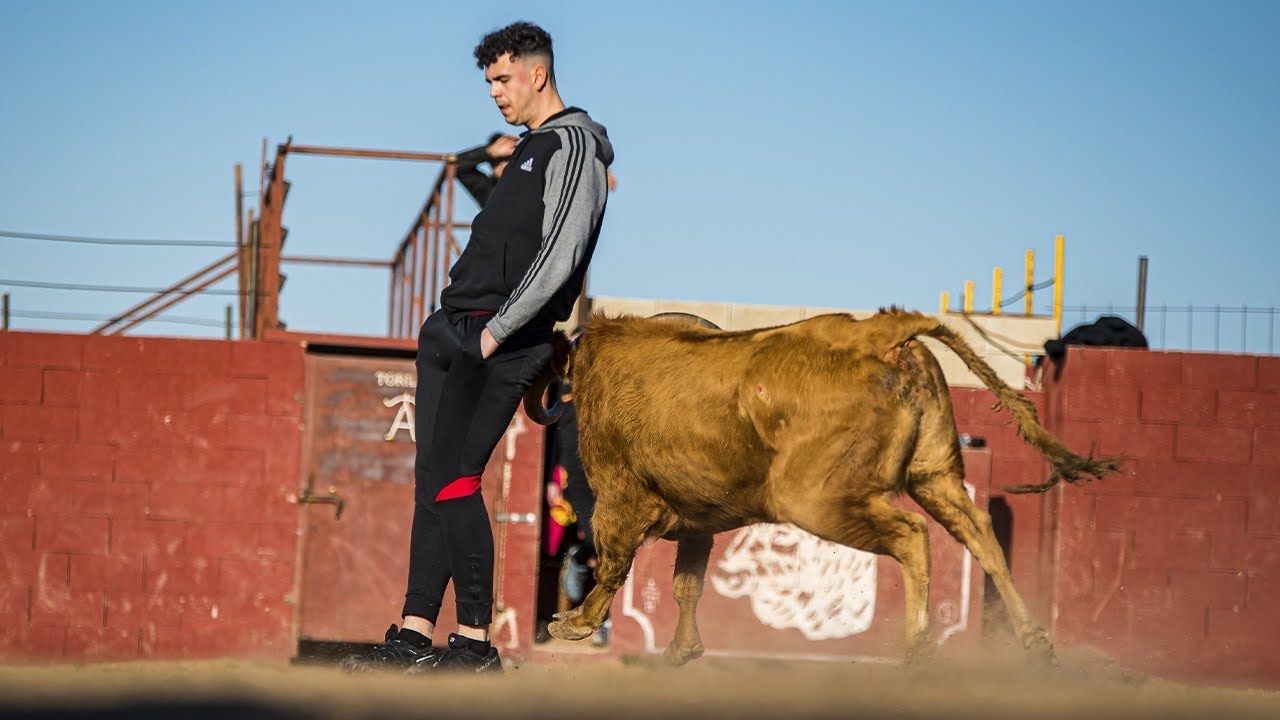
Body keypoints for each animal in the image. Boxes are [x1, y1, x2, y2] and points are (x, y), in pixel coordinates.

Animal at [522, 308, 1119, 666]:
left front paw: (574, 624)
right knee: (980, 536)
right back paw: (1034, 641)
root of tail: (881, 334)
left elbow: (614, 561)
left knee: (912, 536)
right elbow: (687, 584)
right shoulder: (700, 521)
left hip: (816, 499)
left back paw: (917, 653)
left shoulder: (619, 498)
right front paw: (682, 651)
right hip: (936, 476)